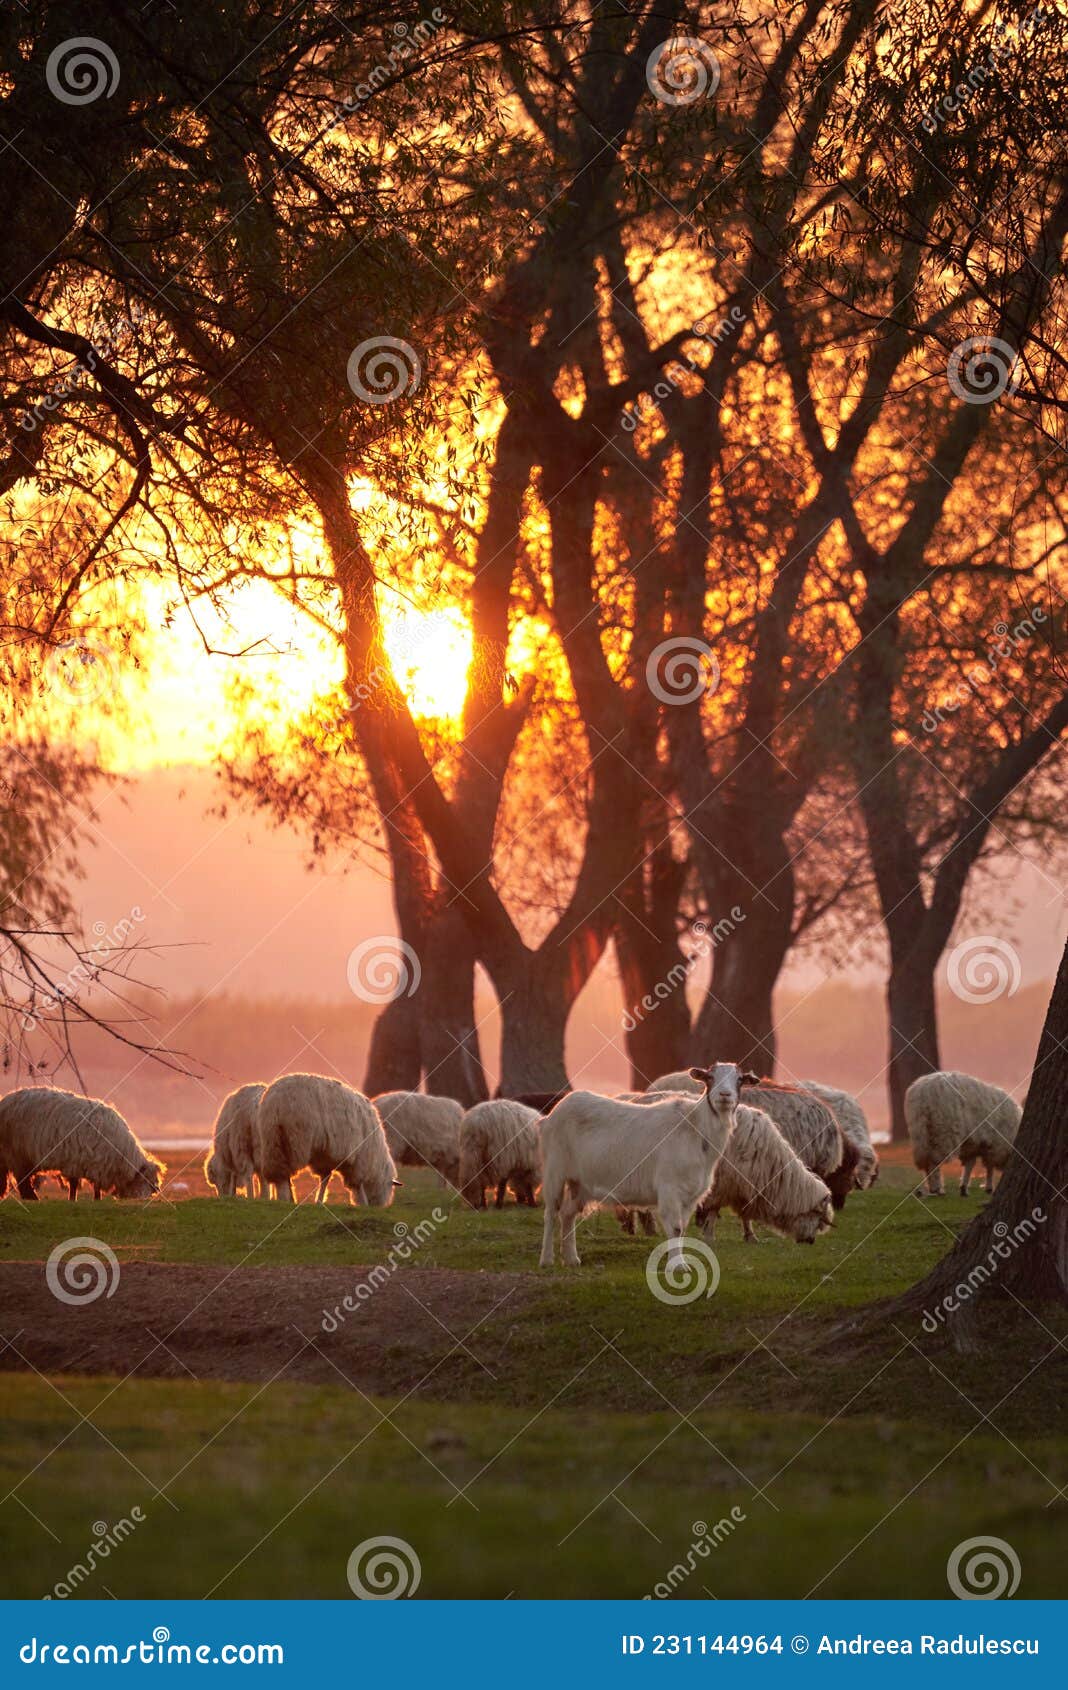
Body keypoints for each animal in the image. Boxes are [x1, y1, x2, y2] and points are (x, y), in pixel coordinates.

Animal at [0, 1088, 162, 1201]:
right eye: (147, 1181)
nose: (149, 1197)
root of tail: (4, 1102)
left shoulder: (89, 1163)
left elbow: (87, 1184)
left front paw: (91, 1199)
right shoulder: (85, 1162)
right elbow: (78, 1183)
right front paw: (78, 1199)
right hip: (16, 1152)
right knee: (22, 1178)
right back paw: (32, 1197)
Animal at [254, 1073, 396, 1205]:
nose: (378, 1206)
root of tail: (276, 1102)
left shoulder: (324, 1157)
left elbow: (325, 1178)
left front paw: (319, 1200)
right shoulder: (358, 1161)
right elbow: (357, 1184)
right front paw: (363, 1203)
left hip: (272, 1139)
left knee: (279, 1172)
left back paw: (288, 1198)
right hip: (296, 1140)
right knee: (285, 1173)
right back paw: (285, 1197)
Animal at [539, 1063, 742, 1268]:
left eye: (739, 1080)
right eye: (710, 1077)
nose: (725, 1095)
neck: (696, 1129)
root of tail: (552, 1114)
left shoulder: (691, 1195)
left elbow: (683, 1230)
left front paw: (680, 1262)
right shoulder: (669, 1188)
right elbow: (676, 1229)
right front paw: (677, 1266)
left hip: (580, 1182)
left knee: (567, 1214)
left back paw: (571, 1259)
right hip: (554, 1171)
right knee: (551, 1214)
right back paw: (546, 1259)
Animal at [694, 1103, 834, 1244]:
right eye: (818, 1217)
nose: (811, 1241)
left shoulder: (744, 1188)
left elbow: (745, 1214)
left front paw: (750, 1236)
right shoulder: (723, 1184)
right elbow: (714, 1209)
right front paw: (709, 1235)